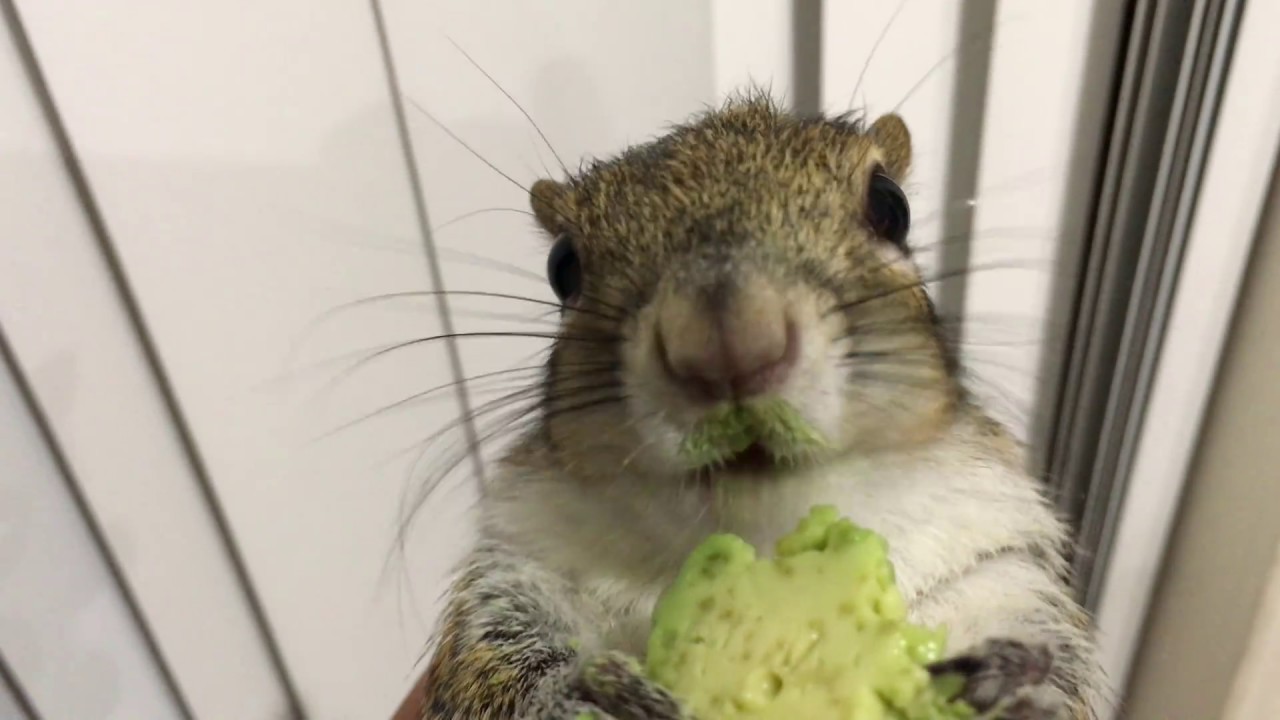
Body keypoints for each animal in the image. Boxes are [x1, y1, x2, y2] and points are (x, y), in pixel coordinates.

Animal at [396, 92, 1107, 720]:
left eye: (891, 206)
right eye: (562, 267)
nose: (723, 343)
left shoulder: (1001, 566)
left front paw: (1014, 687)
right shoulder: (517, 572)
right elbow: (488, 671)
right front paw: (577, 699)